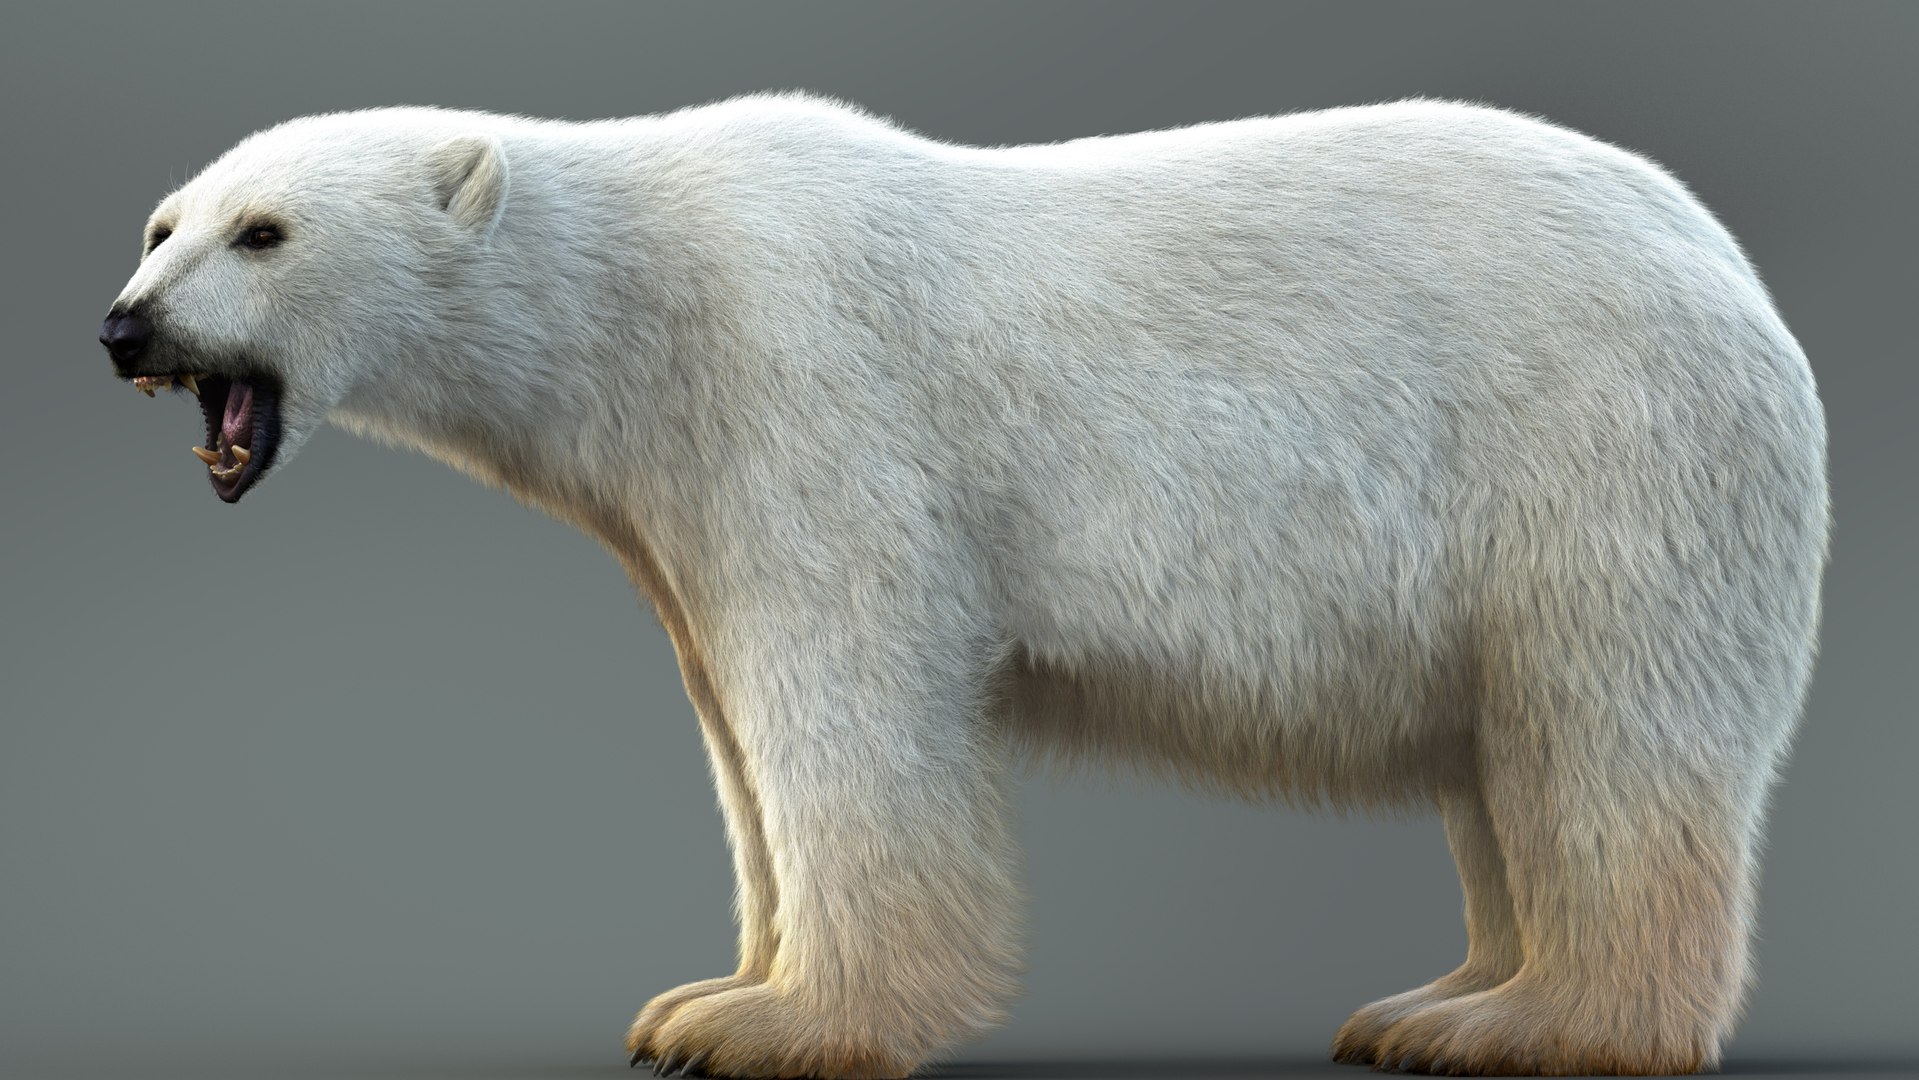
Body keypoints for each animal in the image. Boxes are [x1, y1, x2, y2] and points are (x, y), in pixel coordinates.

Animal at [100, 93, 1829, 1077]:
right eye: (163, 221)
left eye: (265, 232)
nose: (123, 327)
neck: (640, 305)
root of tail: (1735, 276)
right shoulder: (677, 502)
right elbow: (734, 725)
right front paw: (713, 985)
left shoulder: (799, 387)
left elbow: (846, 699)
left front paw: (771, 1026)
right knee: (1499, 758)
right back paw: (1440, 993)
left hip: (1597, 461)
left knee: (1602, 737)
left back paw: (1525, 1024)